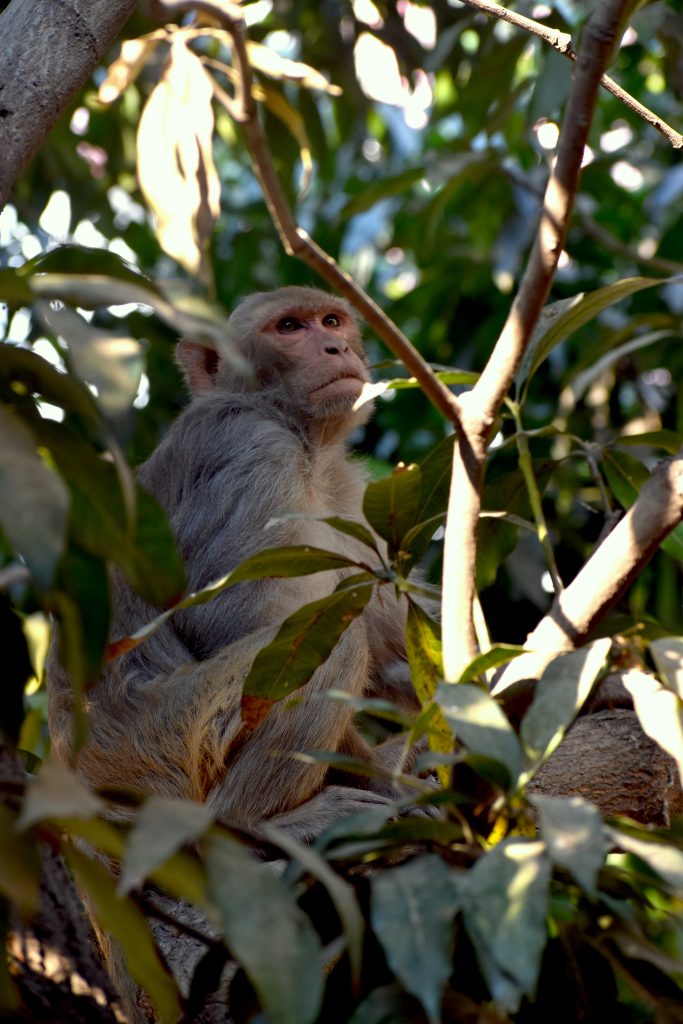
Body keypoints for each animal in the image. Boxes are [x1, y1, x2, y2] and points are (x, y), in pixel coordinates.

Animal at [47, 286, 431, 843]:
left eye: (331, 321)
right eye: (290, 327)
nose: (336, 347)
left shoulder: (344, 491)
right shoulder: (248, 449)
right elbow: (236, 621)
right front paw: (387, 781)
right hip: (163, 745)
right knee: (323, 638)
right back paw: (257, 821)